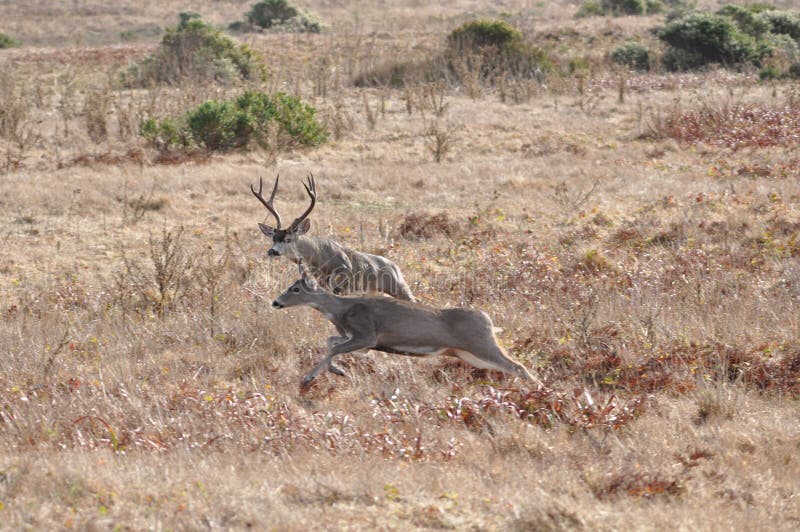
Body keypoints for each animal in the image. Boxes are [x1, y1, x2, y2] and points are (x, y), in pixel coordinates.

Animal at [252, 174, 415, 301]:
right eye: (273, 238)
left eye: (288, 239)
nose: (272, 251)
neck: (317, 257)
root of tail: (396, 267)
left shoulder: (344, 270)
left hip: (399, 287)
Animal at [271, 262, 539, 387]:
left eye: (295, 288)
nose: (276, 302)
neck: (342, 310)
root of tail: (489, 320)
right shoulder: (359, 340)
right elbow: (330, 342)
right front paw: (337, 370)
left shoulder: (367, 334)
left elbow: (333, 347)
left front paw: (309, 377)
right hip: (468, 354)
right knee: (511, 368)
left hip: (483, 344)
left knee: (519, 367)